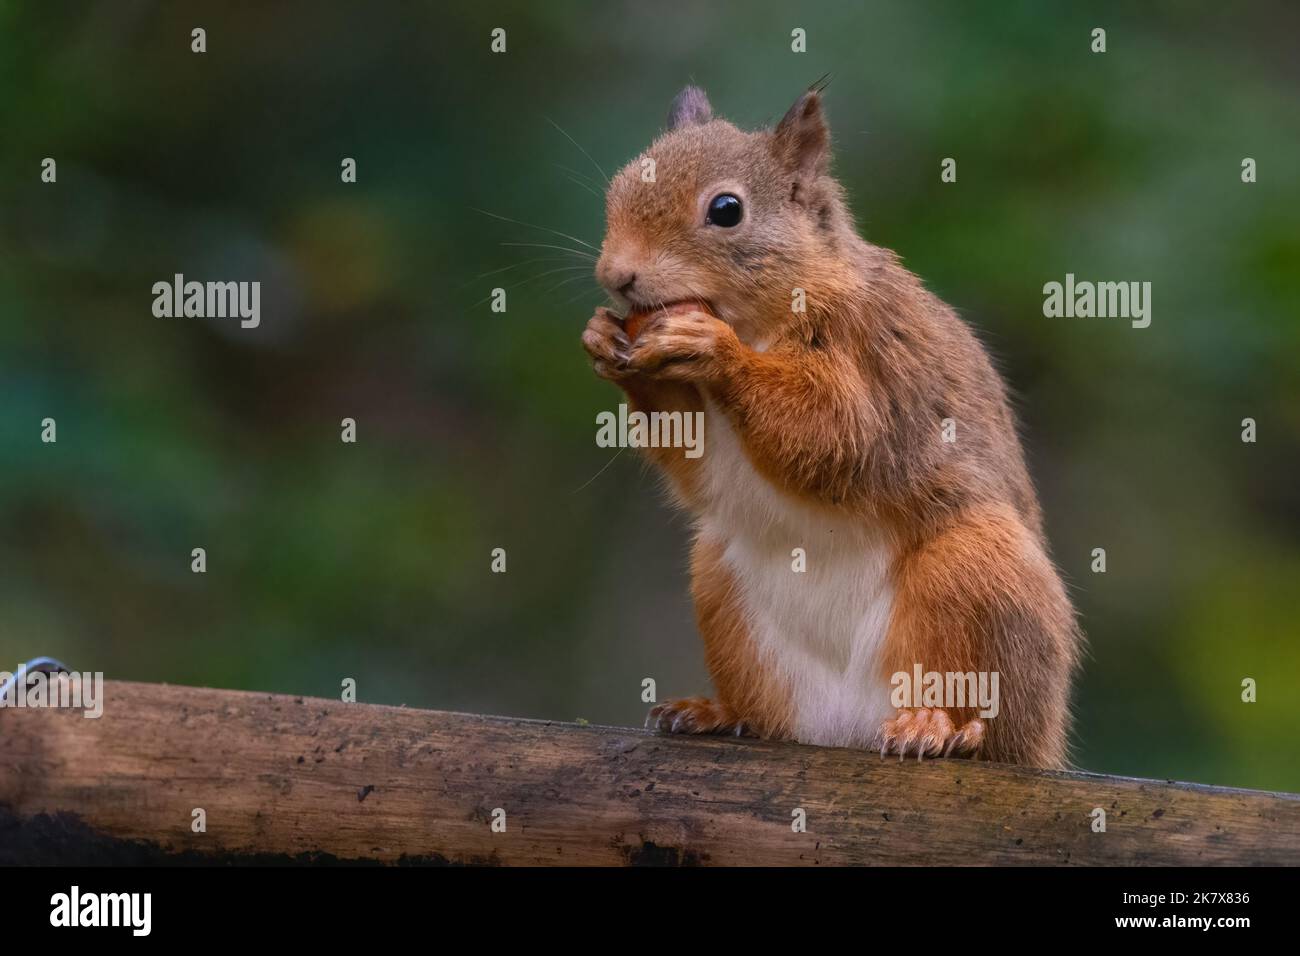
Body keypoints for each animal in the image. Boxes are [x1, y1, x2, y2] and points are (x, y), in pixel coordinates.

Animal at [581, 85, 1081, 768]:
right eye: (617, 186)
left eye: (727, 210)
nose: (617, 277)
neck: (758, 318)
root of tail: (846, 728)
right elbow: (692, 456)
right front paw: (603, 339)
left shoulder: (862, 356)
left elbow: (835, 435)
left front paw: (715, 350)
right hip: (722, 586)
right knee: (768, 712)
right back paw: (717, 714)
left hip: (974, 573)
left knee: (988, 720)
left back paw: (943, 728)